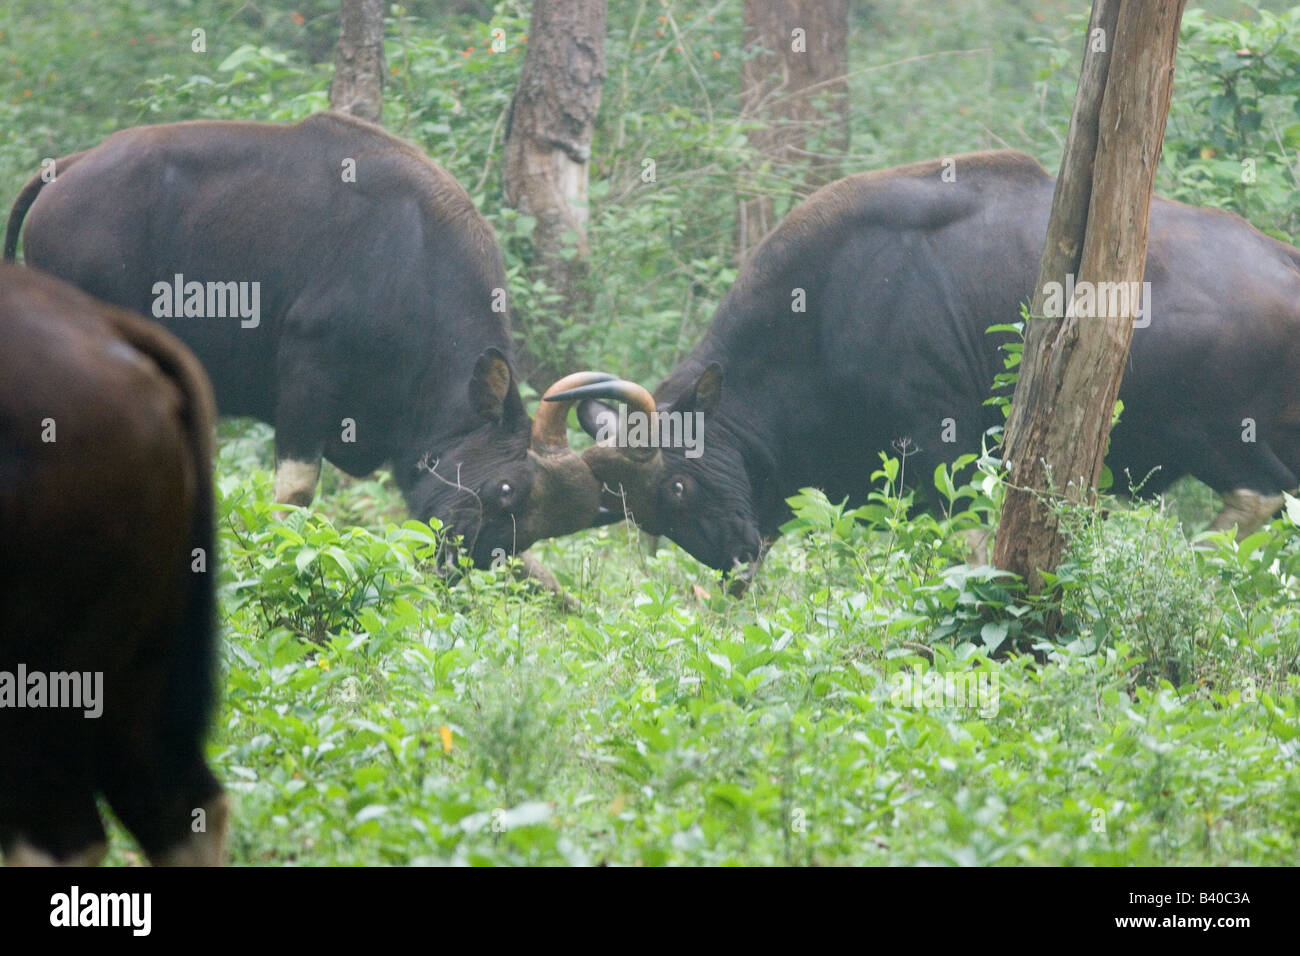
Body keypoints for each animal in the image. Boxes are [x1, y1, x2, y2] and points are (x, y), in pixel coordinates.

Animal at [5, 112, 612, 568]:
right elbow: (295, 492)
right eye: (505, 490)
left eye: (532, 532)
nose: (457, 563)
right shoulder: (308, 381)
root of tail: (69, 167)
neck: (415, 261)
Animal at [549, 151, 1300, 582]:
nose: (735, 561)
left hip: (1222, 439)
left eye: (677, 485)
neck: (825, 311)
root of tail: (1284, 263)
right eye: (646, 514)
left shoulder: (945, 453)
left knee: (1257, 501)